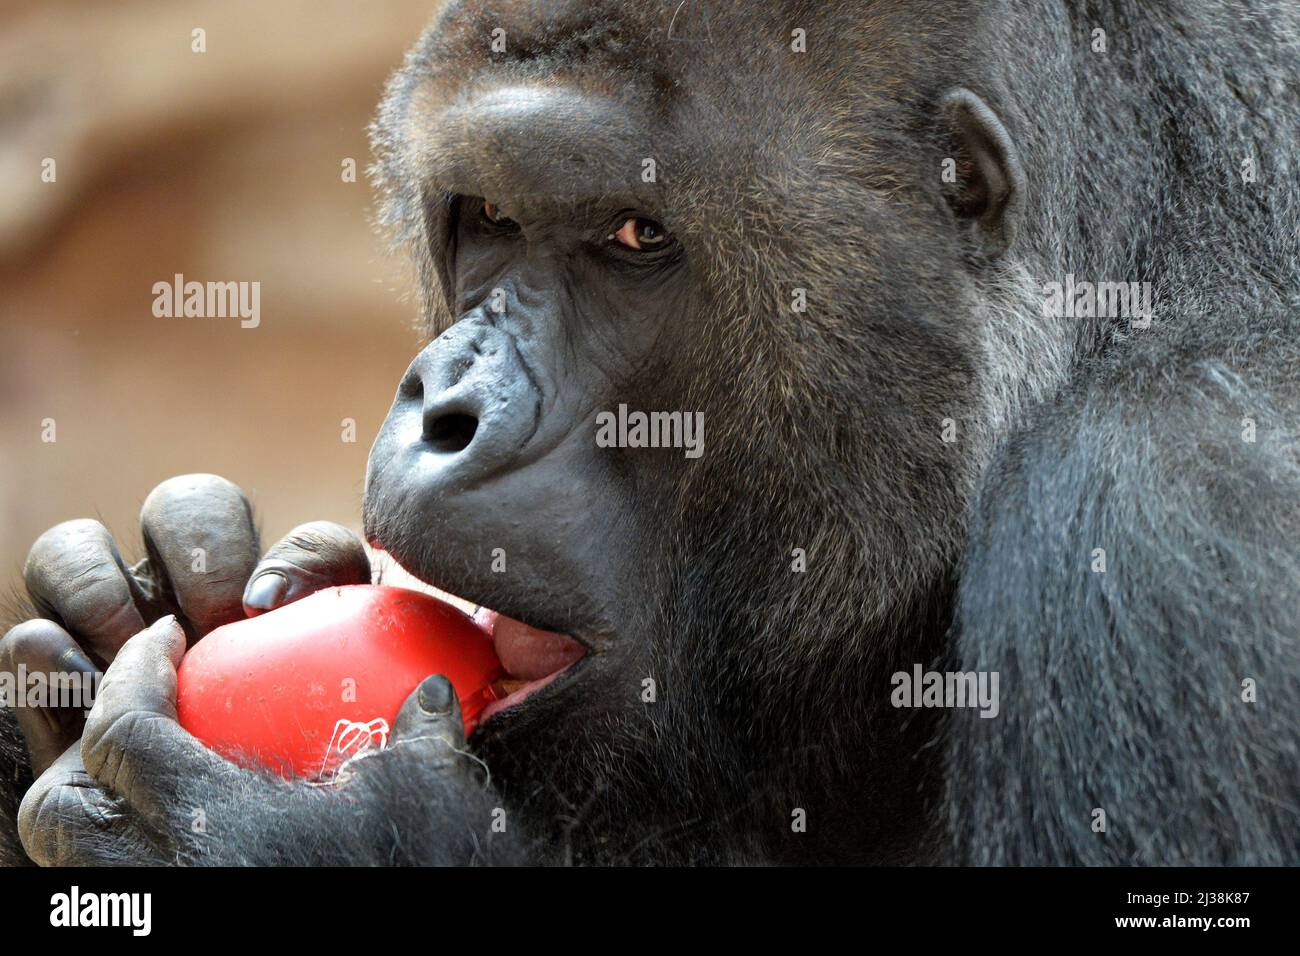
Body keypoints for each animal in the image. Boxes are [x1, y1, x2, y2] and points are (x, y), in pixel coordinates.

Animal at [1, 0, 1297, 866]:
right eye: (487, 215)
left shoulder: (1160, 503)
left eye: (633, 236)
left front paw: (308, 836)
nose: (443, 409)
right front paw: (126, 602)